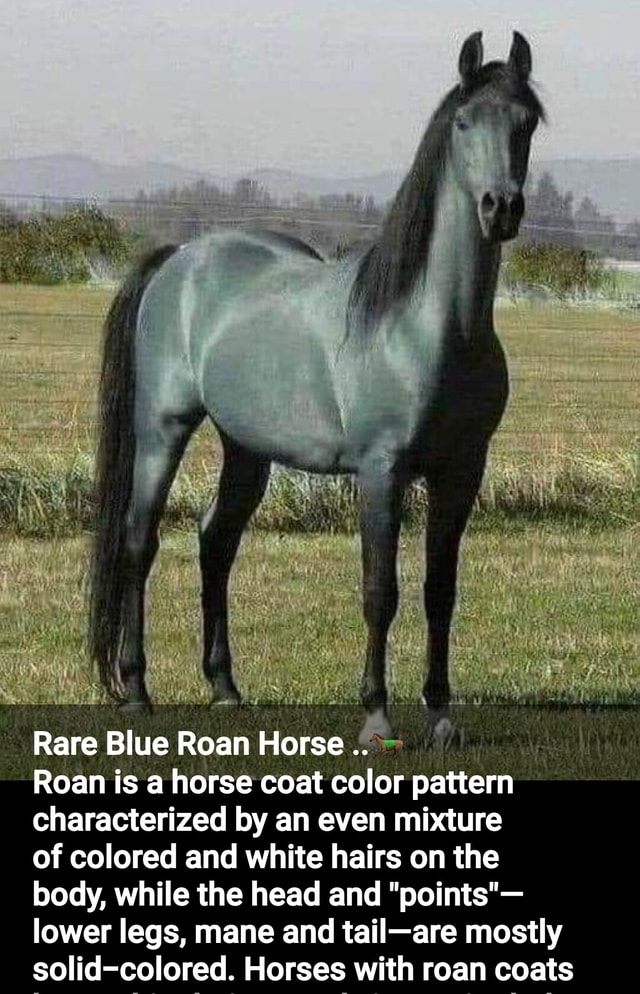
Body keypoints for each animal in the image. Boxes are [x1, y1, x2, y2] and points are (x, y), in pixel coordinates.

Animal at [89, 31, 544, 747]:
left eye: (525, 122)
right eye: (465, 122)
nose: (500, 208)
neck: (431, 324)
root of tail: (178, 260)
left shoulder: (462, 472)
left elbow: (439, 592)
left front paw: (441, 716)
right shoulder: (382, 472)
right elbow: (380, 591)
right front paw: (376, 717)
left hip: (246, 447)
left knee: (216, 541)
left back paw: (225, 689)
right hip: (162, 429)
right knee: (141, 539)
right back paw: (136, 690)